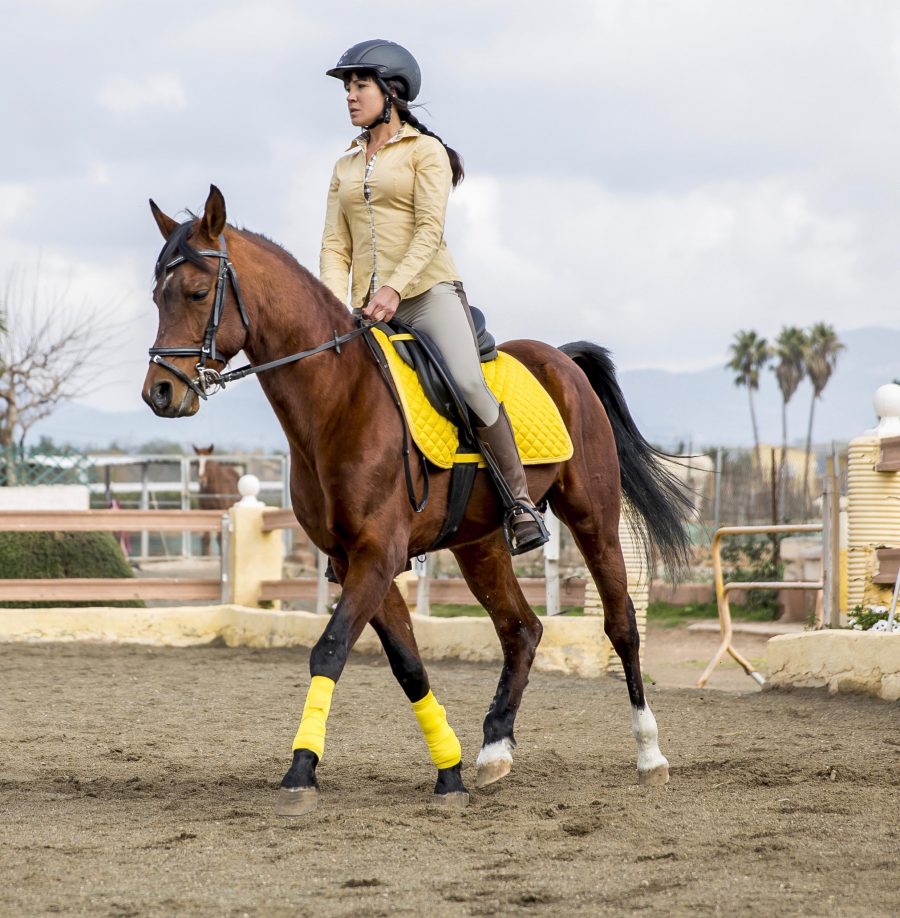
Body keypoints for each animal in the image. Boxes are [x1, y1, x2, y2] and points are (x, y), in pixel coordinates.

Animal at [142, 185, 692, 816]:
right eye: (155, 294)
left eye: (196, 292)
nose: (160, 393)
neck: (341, 399)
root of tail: (560, 358)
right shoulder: (351, 561)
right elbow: (407, 664)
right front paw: (448, 772)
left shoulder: (378, 554)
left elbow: (330, 649)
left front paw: (301, 770)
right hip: (481, 544)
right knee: (521, 629)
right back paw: (493, 750)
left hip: (592, 517)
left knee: (620, 622)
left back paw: (650, 755)